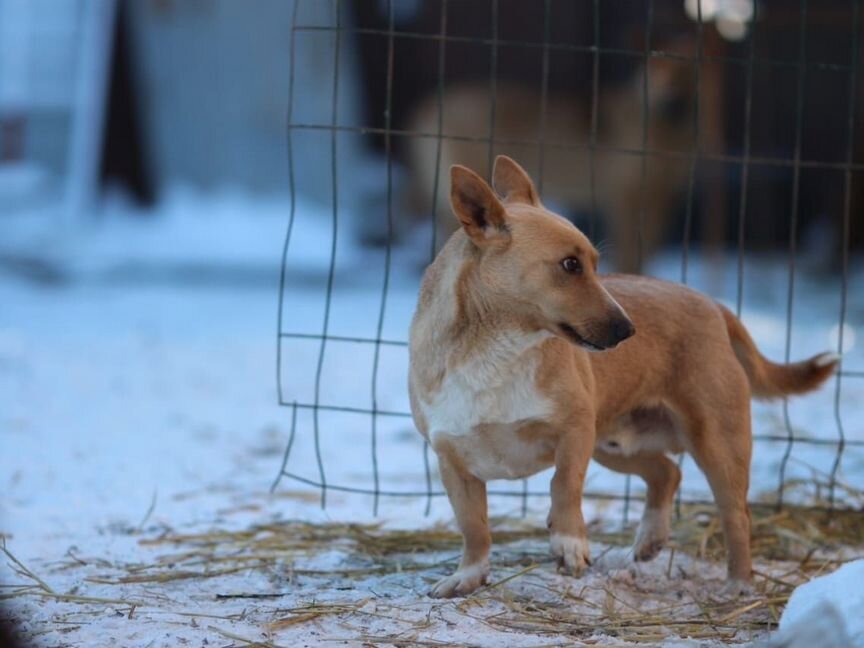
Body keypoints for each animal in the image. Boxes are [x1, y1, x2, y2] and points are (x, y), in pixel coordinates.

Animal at [408, 156, 840, 596]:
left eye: (595, 265)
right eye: (570, 265)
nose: (630, 330)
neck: (497, 350)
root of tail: (711, 303)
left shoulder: (575, 431)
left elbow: (564, 486)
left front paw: (568, 543)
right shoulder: (452, 463)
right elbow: (473, 527)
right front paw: (468, 576)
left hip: (716, 442)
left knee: (736, 514)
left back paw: (738, 584)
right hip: (614, 445)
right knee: (667, 472)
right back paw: (650, 539)